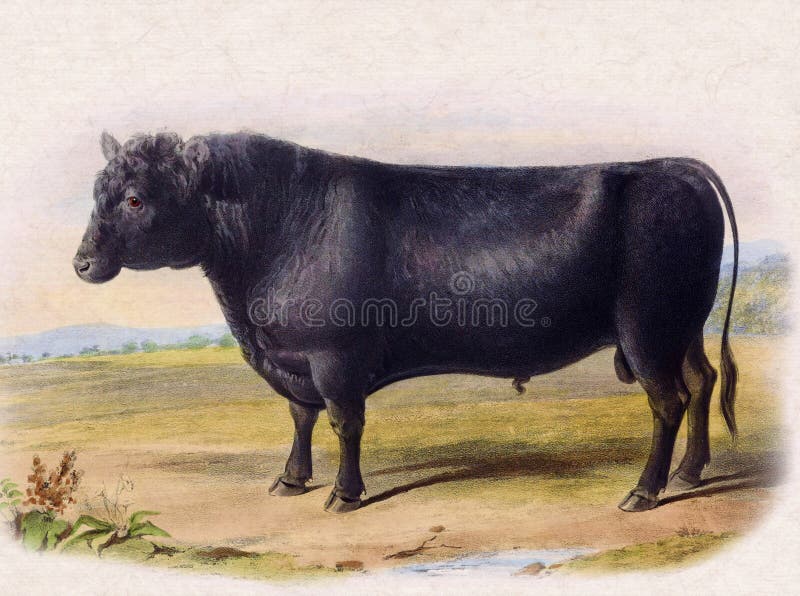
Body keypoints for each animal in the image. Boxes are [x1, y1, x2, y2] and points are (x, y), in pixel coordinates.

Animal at [74, 131, 738, 513]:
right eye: (96, 191)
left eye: (134, 198)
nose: (81, 262)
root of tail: (668, 166)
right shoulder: (292, 358)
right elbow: (300, 416)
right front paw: (291, 480)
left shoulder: (334, 357)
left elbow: (343, 422)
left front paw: (343, 495)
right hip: (683, 326)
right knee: (702, 382)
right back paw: (689, 473)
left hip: (647, 330)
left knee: (669, 400)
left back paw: (644, 491)